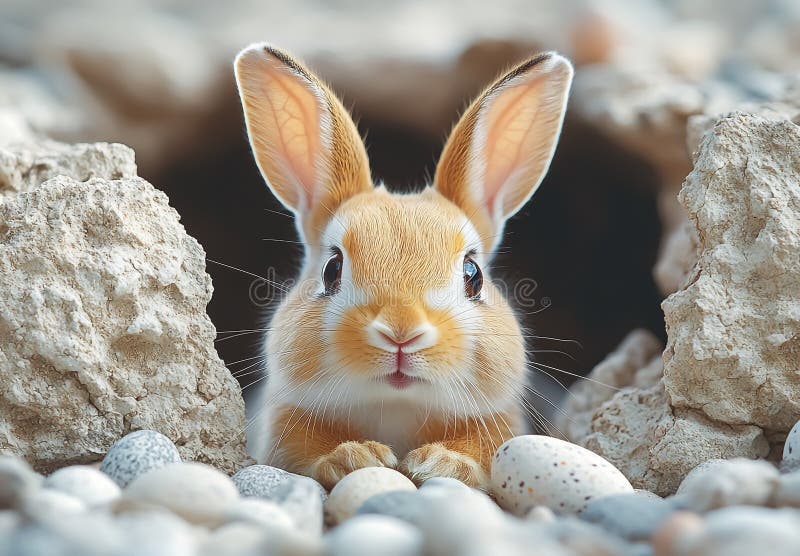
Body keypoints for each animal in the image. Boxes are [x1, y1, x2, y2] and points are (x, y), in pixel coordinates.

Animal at [234, 43, 573, 490]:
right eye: (331, 270)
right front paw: (355, 457)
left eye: (473, 275)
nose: (401, 333)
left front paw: (439, 463)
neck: (395, 407)